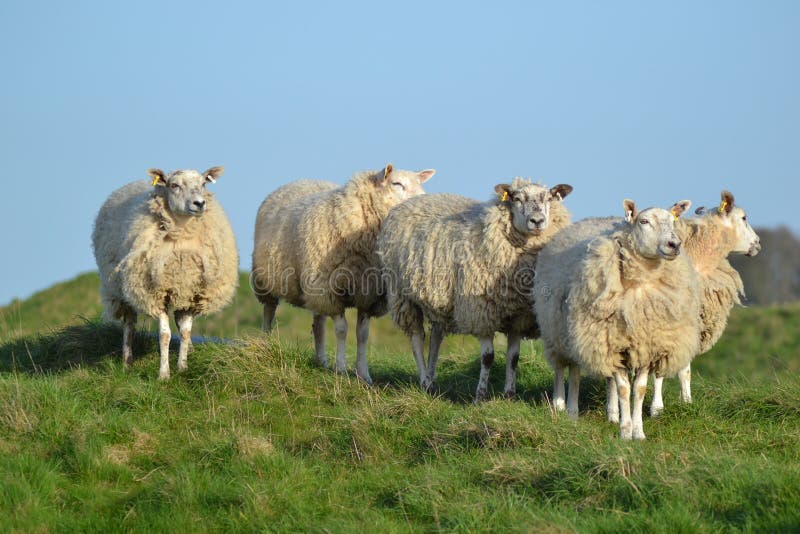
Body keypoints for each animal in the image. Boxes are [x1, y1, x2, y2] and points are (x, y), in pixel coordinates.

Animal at [92, 167, 239, 379]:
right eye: (174, 185)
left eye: (204, 183)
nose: (199, 203)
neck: (183, 234)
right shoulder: (156, 293)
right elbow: (164, 335)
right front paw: (164, 374)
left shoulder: (192, 292)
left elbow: (185, 331)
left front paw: (183, 367)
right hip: (119, 289)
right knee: (129, 323)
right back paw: (127, 361)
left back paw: (190, 349)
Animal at [251, 164, 434, 384]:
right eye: (397, 183)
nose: (424, 200)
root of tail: (300, 180)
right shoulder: (331, 290)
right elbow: (341, 330)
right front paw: (341, 369)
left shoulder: (369, 294)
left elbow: (362, 334)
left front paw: (363, 374)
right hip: (267, 280)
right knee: (268, 312)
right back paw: (265, 342)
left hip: (313, 286)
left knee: (318, 323)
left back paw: (321, 361)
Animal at [377, 178, 573, 402]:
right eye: (516, 198)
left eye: (549, 198)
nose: (537, 221)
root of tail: (408, 202)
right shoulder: (481, 312)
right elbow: (488, 357)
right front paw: (480, 396)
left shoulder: (519, 316)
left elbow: (514, 357)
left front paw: (510, 394)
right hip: (402, 296)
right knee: (417, 338)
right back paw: (425, 381)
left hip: (439, 299)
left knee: (435, 337)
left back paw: (432, 382)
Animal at [534, 199, 700, 440]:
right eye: (644, 221)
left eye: (673, 221)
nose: (674, 244)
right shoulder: (614, 344)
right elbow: (624, 389)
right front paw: (625, 432)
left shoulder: (644, 346)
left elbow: (638, 389)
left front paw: (638, 431)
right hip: (561, 333)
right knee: (568, 370)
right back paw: (565, 407)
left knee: (604, 376)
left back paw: (612, 414)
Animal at [649, 191, 761, 415]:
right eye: (744, 217)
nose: (758, 243)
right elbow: (659, 371)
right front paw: (657, 408)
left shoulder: (690, 324)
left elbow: (685, 370)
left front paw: (687, 403)